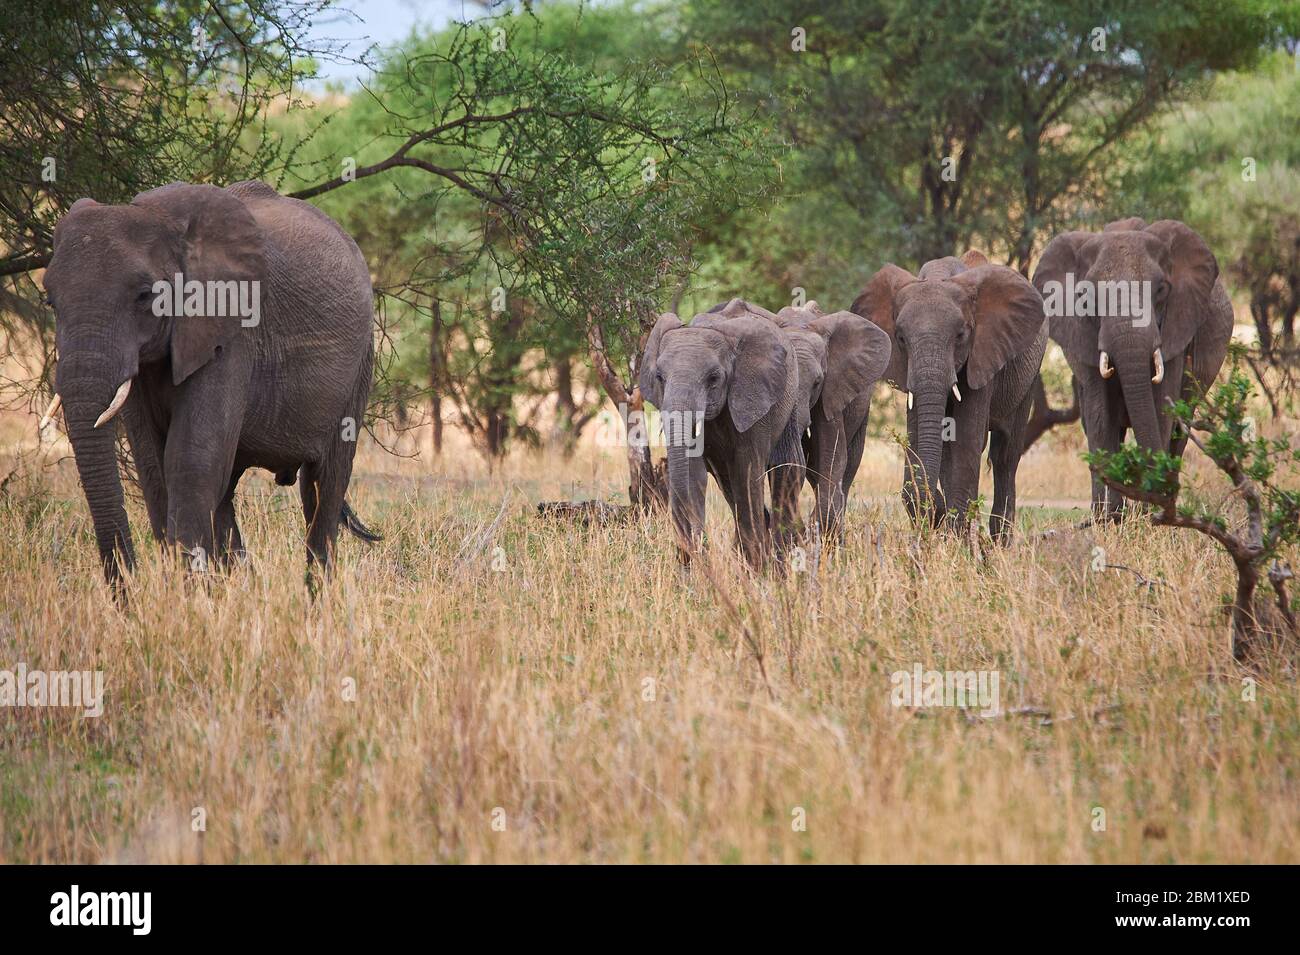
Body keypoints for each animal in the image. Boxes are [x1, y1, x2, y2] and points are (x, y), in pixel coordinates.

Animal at [40, 179, 380, 589]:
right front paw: (189, 593)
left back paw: (318, 597)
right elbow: (153, 464)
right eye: (49, 301)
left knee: (323, 486)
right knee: (228, 491)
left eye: (145, 295)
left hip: (360, 364)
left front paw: (186, 595)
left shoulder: (232, 330)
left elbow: (190, 460)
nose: (129, 591)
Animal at [638, 308, 798, 567]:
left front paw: (759, 568)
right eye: (659, 377)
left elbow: (747, 470)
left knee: (785, 468)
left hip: (790, 400)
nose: (699, 549)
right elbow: (693, 472)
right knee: (728, 483)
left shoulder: (752, 398)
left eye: (713, 378)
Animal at [853, 251, 1047, 541]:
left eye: (960, 335)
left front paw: (957, 539)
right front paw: (941, 519)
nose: (935, 514)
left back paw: (998, 542)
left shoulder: (983, 351)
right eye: (900, 338)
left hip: (1030, 372)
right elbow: (925, 436)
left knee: (1005, 454)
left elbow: (967, 438)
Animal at [1032, 218, 1234, 520]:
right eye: (1086, 296)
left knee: (1180, 430)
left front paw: (1151, 516)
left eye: (1161, 290)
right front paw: (1109, 520)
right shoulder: (1084, 334)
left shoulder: (1176, 327)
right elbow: (1100, 414)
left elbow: (1161, 407)